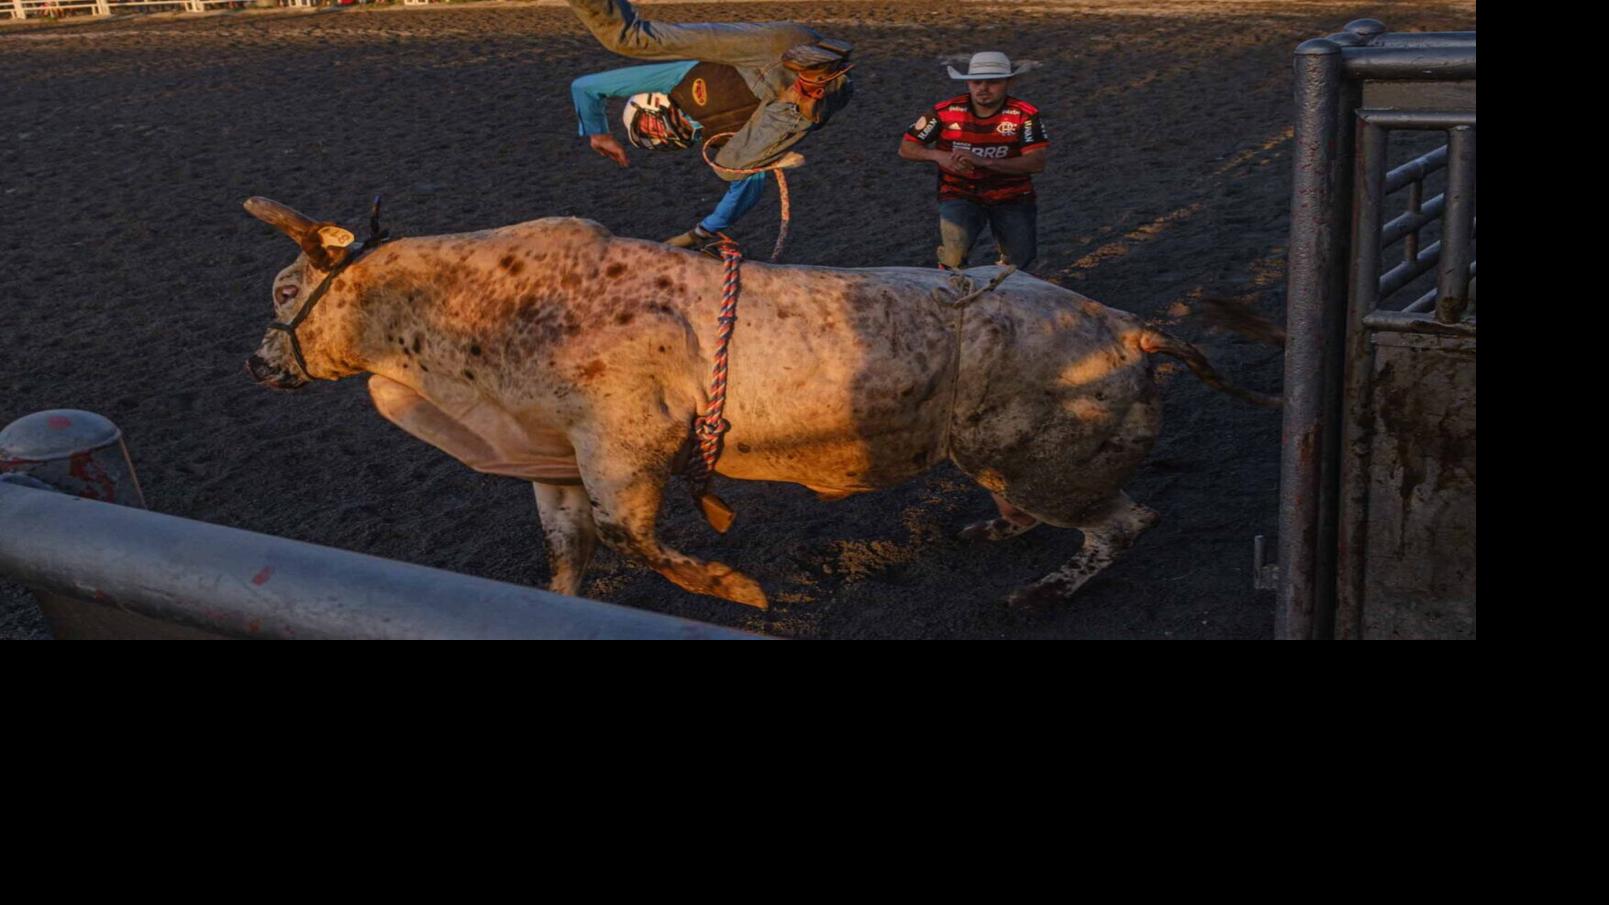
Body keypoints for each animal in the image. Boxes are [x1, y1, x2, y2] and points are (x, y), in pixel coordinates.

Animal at [242, 197, 1274, 610]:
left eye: (285, 289)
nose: (257, 364)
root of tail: (1131, 327)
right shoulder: (553, 454)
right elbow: (567, 547)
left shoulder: (623, 445)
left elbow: (629, 535)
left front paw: (738, 588)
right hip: (996, 449)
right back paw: (1000, 531)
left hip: (1044, 453)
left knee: (1123, 520)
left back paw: (1044, 589)